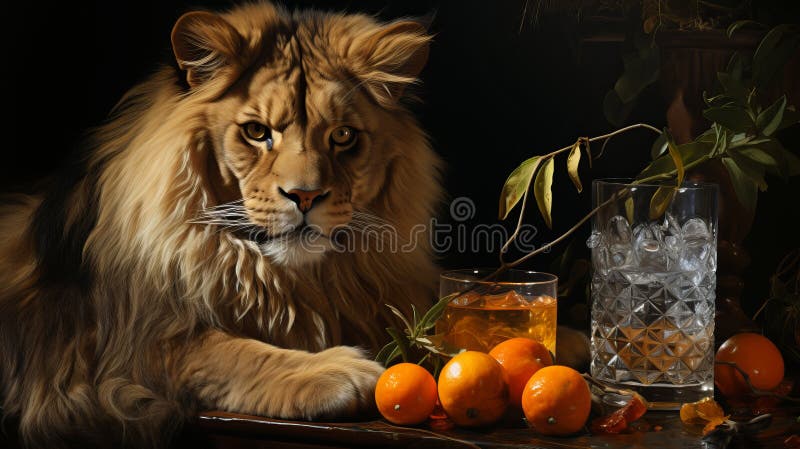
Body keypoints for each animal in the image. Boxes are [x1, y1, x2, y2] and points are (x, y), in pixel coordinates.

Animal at [0, 2, 440, 447]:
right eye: (256, 132)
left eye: (344, 135)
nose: (305, 196)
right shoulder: (116, 354)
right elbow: (231, 353)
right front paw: (337, 371)